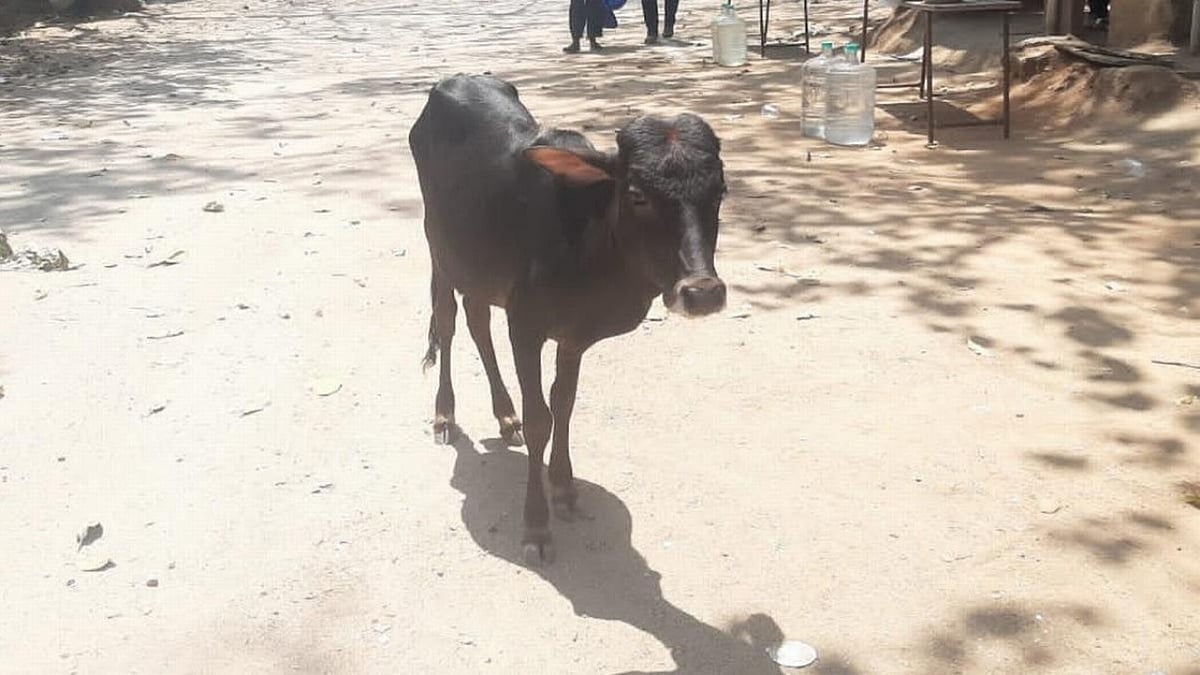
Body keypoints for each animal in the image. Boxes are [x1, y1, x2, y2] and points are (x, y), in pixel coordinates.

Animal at [408, 74, 727, 565]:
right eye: (637, 195)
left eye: (719, 193)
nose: (703, 291)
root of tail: (453, 80)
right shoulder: (525, 326)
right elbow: (541, 416)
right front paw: (536, 525)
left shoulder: (574, 336)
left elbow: (564, 404)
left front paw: (562, 486)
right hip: (440, 249)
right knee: (448, 321)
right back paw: (445, 414)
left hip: (478, 268)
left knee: (478, 320)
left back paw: (505, 416)